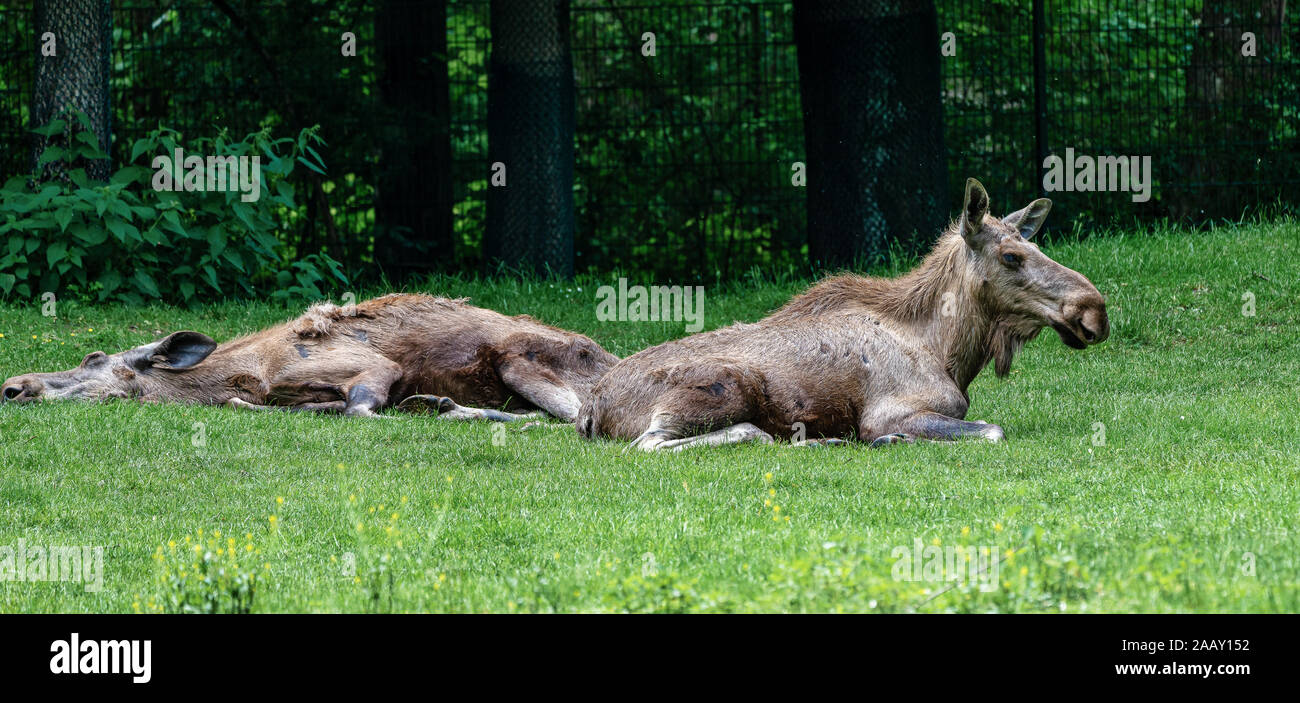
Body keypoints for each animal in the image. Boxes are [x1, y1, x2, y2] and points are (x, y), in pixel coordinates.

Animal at [577, 179, 1110, 451]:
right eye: (1011, 256)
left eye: (1036, 245)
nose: (1095, 311)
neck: (951, 351)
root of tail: (590, 410)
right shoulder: (892, 410)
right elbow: (993, 431)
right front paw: (892, 440)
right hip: (722, 386)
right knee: (653, 444)